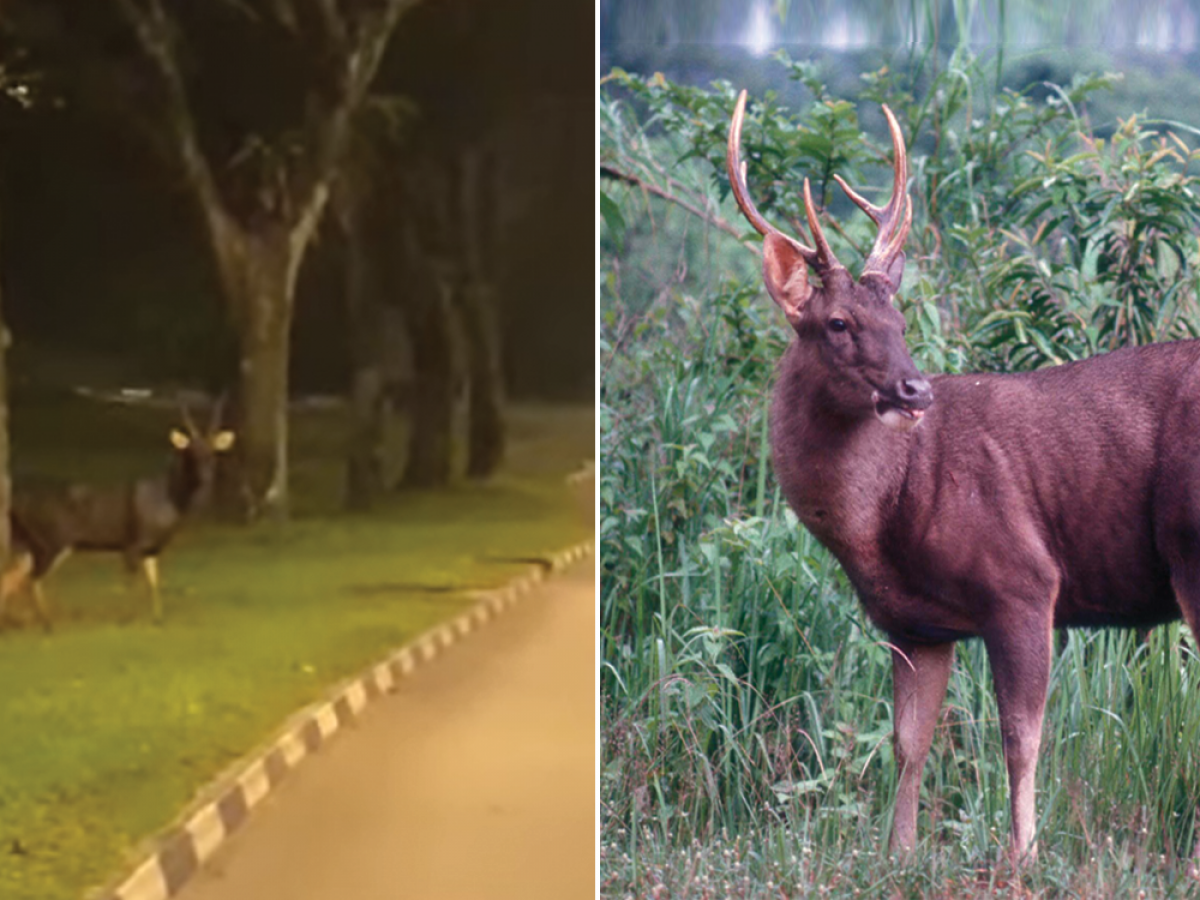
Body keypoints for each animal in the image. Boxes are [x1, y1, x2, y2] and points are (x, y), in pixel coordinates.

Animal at [0, 398, 235, 628]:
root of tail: (15, 504)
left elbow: (154, 582)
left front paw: (158, 619)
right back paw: (47, 624)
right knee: (32, 579)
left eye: (213, 452)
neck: (165, 501)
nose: (206, 477)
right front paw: (125, 619)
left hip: (30, 543)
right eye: (191, 452)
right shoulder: (132, 541)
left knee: (14, 578)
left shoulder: (152, 548)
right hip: (50, 540)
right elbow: (130, 582)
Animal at [727, 89, 1200, 863]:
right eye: (838, 323)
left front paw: (1022, 856)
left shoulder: (1023, 580)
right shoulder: (914, 623)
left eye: (898, 319)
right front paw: (898, 854)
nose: (915, 389)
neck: (886, 515)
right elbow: (908, 743)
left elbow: (1020, 739)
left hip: (1190, 546)